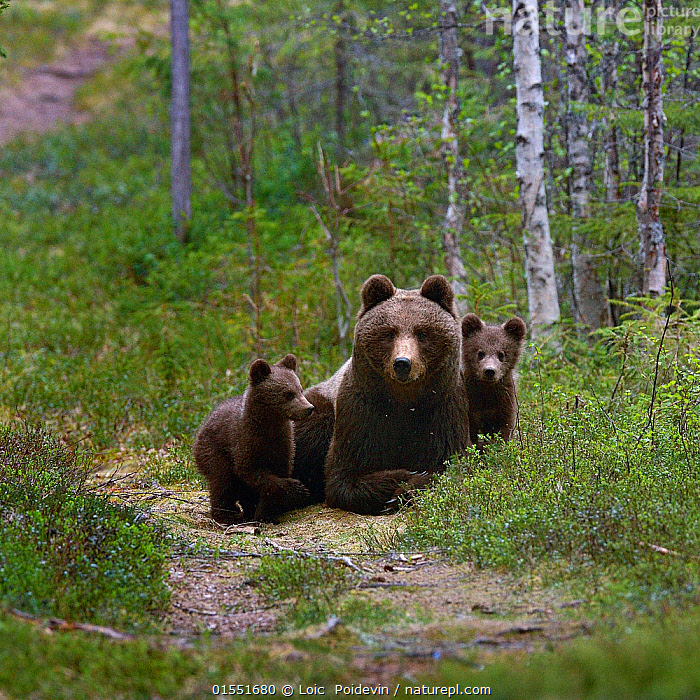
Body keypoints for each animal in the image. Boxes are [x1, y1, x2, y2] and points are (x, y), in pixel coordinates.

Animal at [193, 354, 315, 524]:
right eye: (288, 393)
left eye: (300, 389)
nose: (309, 408)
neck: (269, 425)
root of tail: (202, 425)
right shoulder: (246, 442)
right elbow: (252, 472)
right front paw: (297, 488)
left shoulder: (284, 443)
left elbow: (279, 471)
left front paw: (267, 511)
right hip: (213, 450)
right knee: (223, 481)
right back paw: (227, 514)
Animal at [323, 274, 471, 515]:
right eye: (389, 333)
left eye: (422, 333)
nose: (402, 363)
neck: (404, 399)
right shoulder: (362, 411)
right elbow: (345, 477)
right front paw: (403, 479)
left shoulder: (443, 407)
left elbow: (450, 464)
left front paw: (411, 487)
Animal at [460, 314, 527, 450]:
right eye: (480, 353)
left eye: (501, 354)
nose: (489, 371)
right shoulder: (471, 401)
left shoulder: (504, 402)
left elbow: (504, 429)